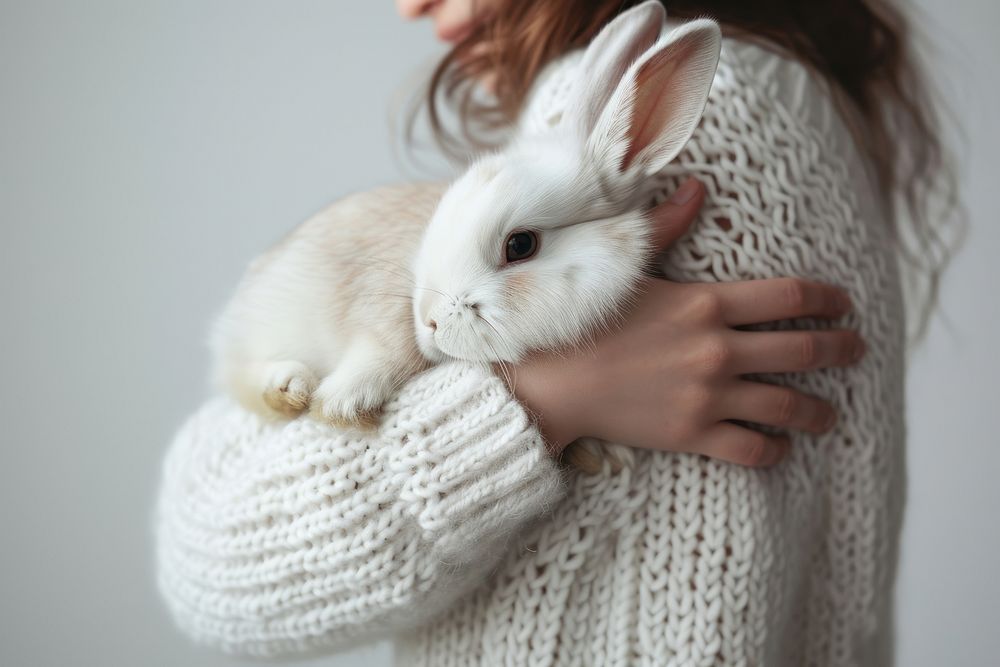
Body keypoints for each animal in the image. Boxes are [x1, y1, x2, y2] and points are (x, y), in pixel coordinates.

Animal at [210, 1, 722, 451]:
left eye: (520, 245)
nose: (429, 320)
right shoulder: (380, 314)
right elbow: (384, 349)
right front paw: (341, 405)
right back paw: (289, 386)